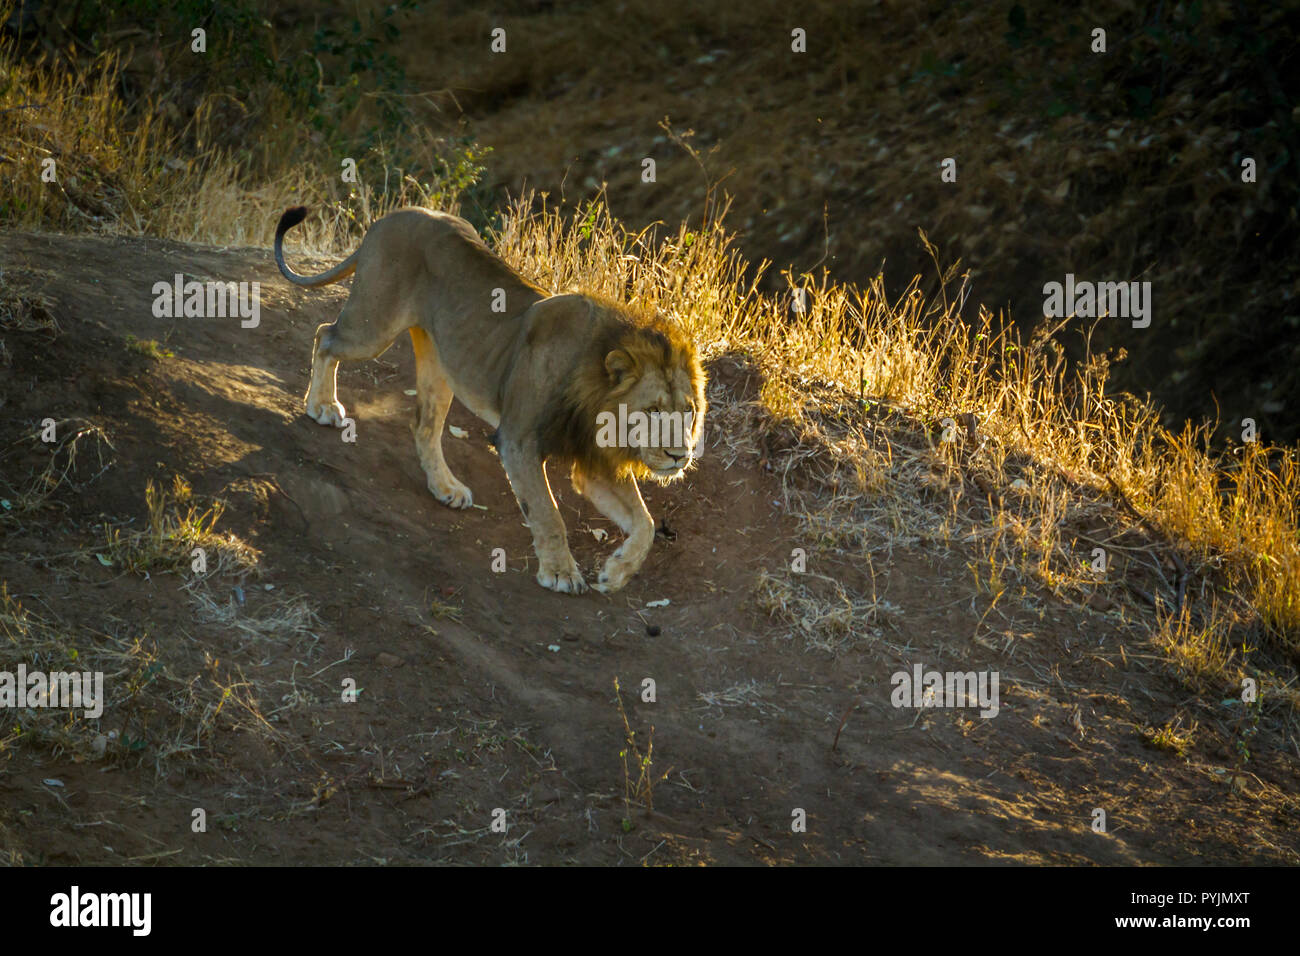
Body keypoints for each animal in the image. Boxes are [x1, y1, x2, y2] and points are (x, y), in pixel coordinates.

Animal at [273, 205, 706, 594]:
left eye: (688, 411)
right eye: (652, 410)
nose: (679, 457)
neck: (592, 391)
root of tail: (389, 216)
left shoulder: (593, 462)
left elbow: (645, 524)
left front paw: (615, 573)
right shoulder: (518, 441)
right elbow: (548, 514)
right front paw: (561, 573)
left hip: (441, 362)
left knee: (423, 425)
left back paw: (445, 487)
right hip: (373, 327)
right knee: (325, 335)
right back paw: (322, 406)